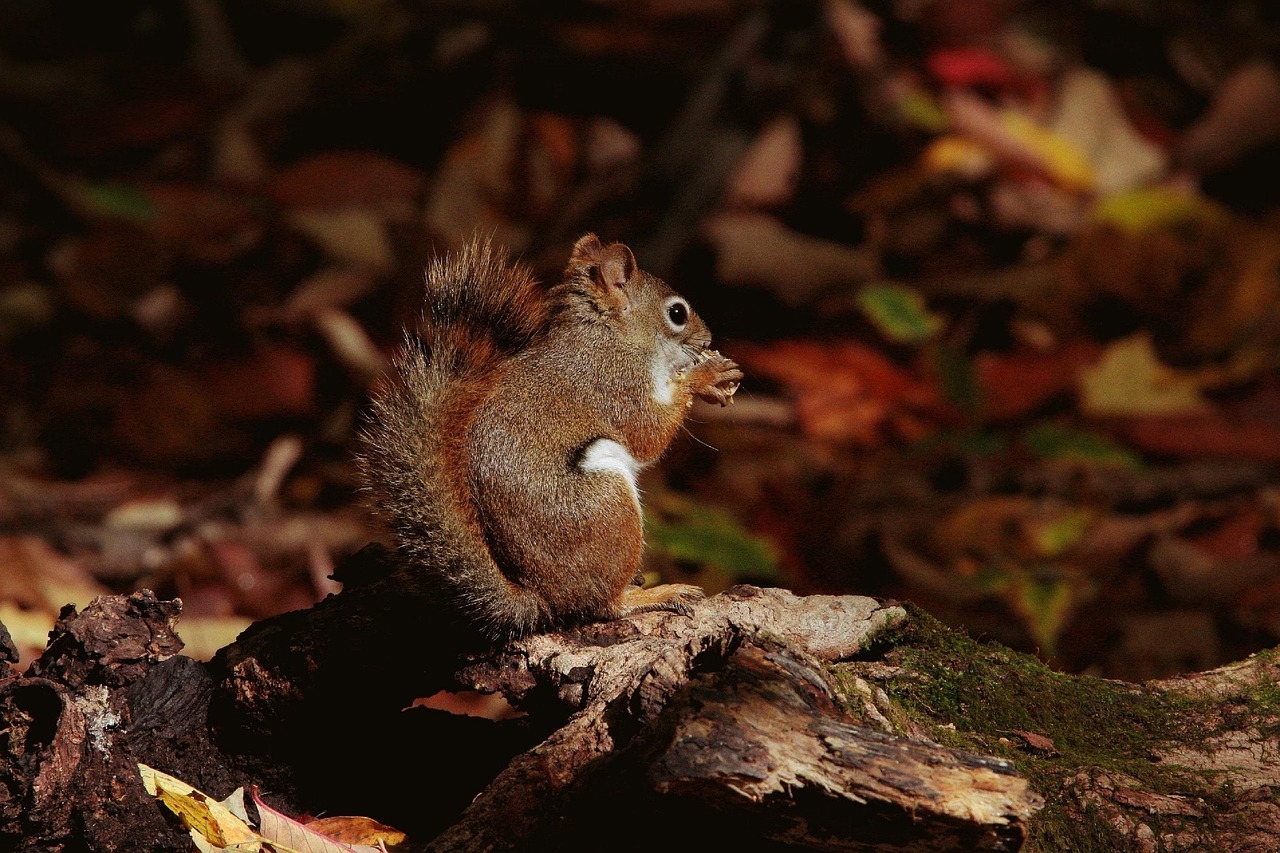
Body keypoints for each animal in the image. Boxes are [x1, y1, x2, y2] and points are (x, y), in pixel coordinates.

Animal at [359, 234, 742, 639]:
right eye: (677, 313)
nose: (708, 338)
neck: (609, 337)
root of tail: (543, 597)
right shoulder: (617, 386)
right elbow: (647, 435)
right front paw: (706, 377)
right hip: (606, 506)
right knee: (603, 605)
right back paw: (650, 594)